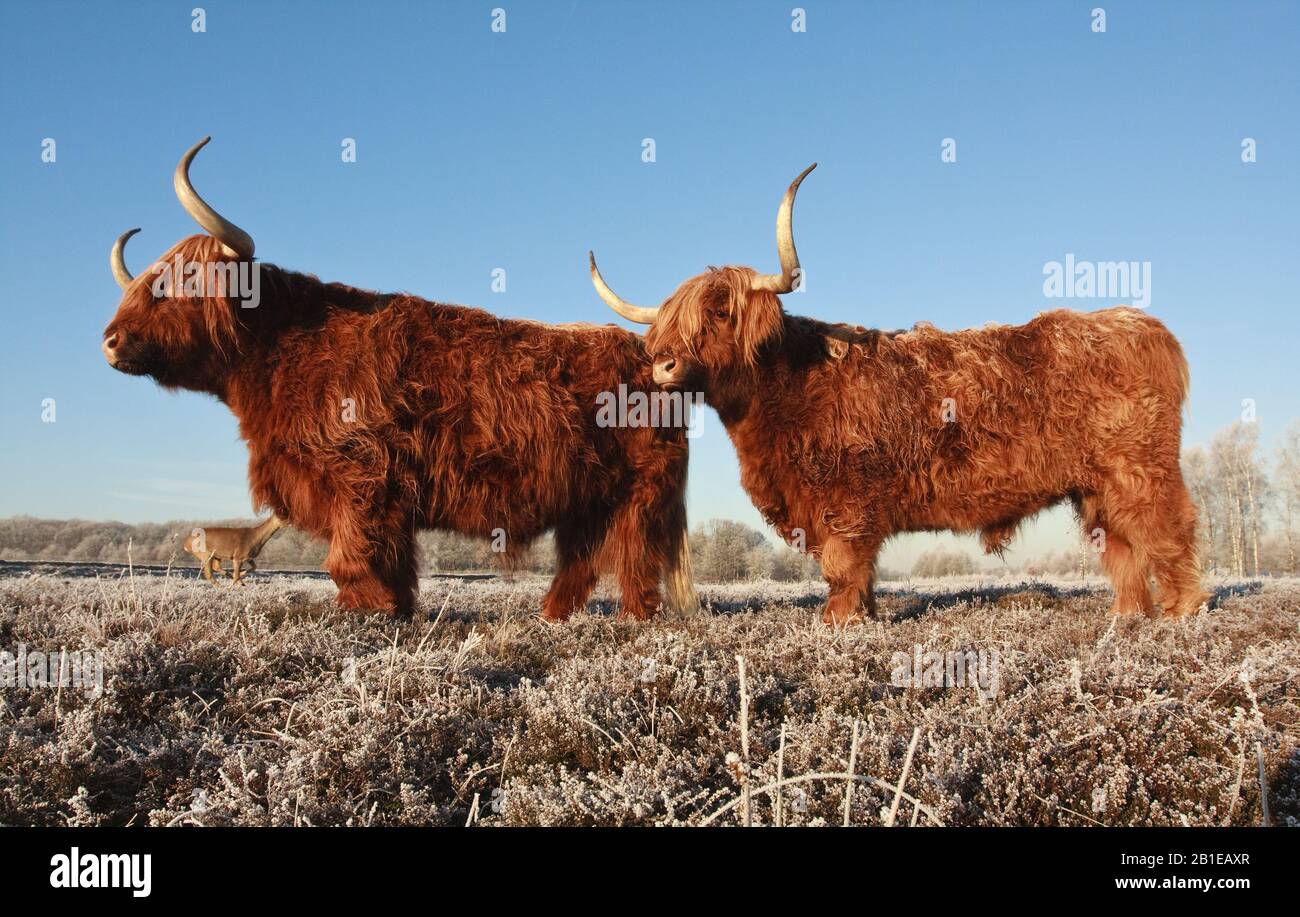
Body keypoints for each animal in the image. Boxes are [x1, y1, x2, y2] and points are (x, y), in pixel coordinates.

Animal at [103, 138, 695, 621]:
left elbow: (350, 553)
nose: (109, 339)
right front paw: (398, 607)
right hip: (586, 499)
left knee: (634, 557)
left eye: (178, 283)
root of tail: (650, 354)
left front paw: (364, 609)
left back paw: (632, 618)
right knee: (581, 559)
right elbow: (388, 556)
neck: (283, 345)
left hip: (639, 492)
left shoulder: (358, 474)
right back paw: (552, 616)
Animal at [588, 164, 1208, 626]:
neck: (782, 391)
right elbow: (856, 570)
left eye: (719, 313)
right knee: (1122, 546)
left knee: (1168, 527)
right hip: (1096, 486)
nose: (662, 363)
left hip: (1141, 470)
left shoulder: (845, 500)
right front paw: (861, 613)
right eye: (667, 324)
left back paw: (1182, 613)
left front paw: (840, 620)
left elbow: (842, 563)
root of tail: (1145, 327)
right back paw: (1128, 616)